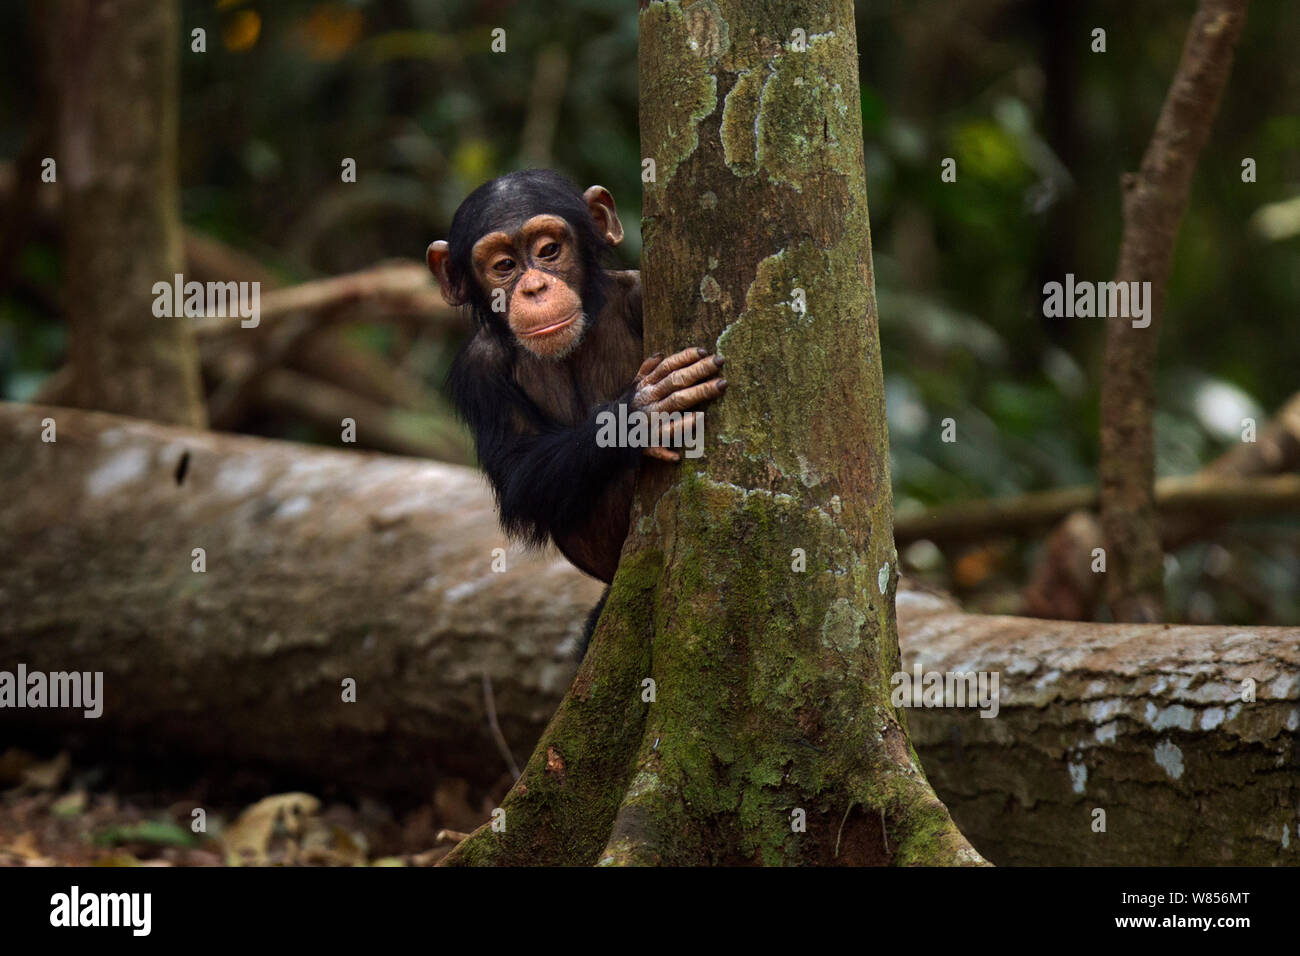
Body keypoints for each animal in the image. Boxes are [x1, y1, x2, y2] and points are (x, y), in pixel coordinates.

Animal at [427, 169, 726, 612]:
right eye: (504, 266)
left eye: (549, 250)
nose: (534, 287)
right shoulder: (477, 369)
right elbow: (518, 474)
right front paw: (637, 414)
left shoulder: (639, 293)